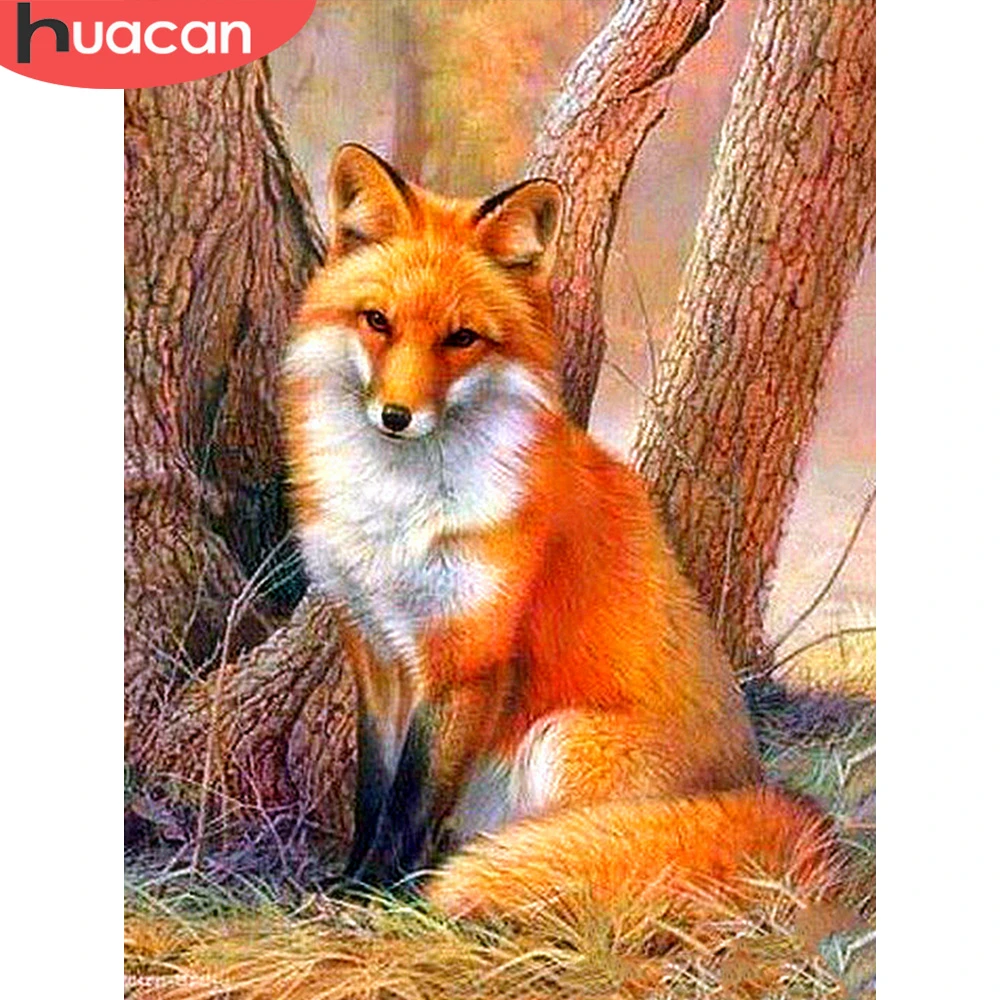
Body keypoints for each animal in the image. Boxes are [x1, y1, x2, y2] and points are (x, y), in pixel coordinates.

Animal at [283, 143, 833, 921]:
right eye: (377, 321)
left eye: (461, 338)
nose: (395, 416)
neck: (396, 512)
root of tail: (759, 789)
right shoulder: (375, 650)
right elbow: (374, 791)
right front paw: (350, 879)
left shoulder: (468, 657)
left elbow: (411, 802)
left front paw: (378, 897)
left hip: (560, 740)